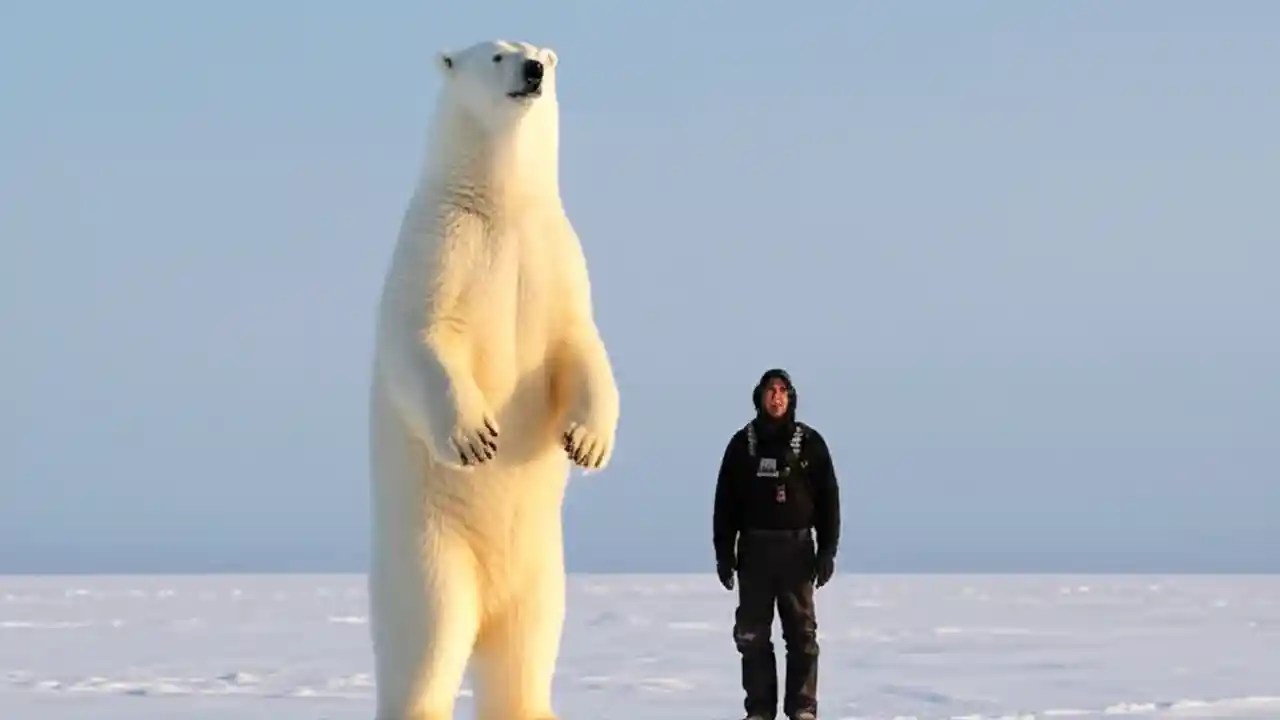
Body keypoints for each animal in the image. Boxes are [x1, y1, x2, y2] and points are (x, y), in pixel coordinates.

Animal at [366, 39, 620, 720]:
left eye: (542, 56)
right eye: (497, 55)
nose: (532, 71)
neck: (500, 205)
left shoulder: (556, 256)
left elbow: (581, 345)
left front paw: (588, 442)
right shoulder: (438, 248)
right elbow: (419, 341)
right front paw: (476, 436)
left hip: (543, 576)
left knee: (522, 664)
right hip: (428, 558)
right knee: (427, 653)